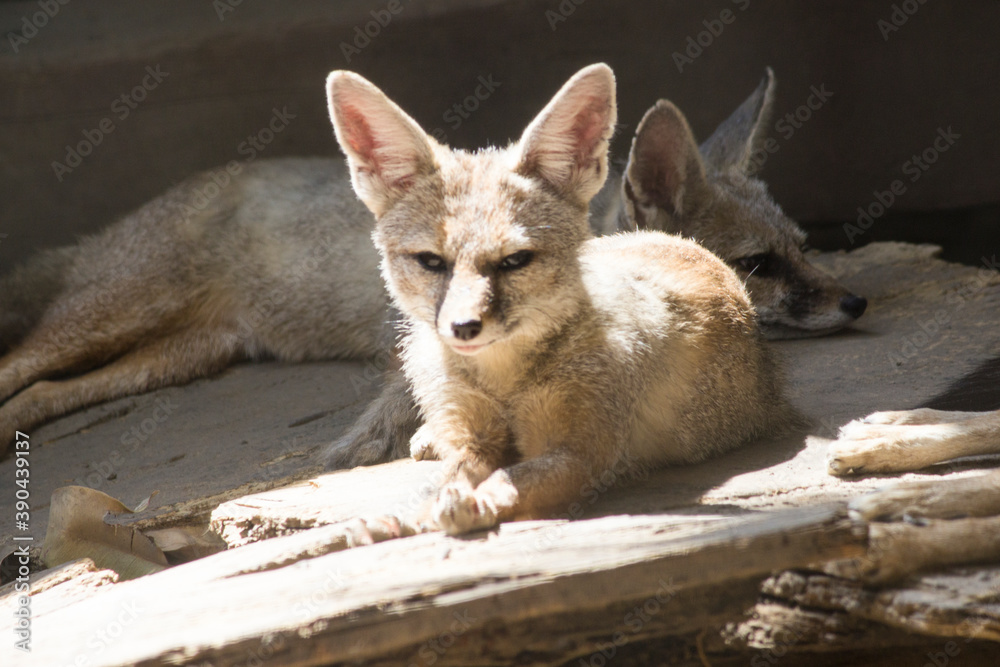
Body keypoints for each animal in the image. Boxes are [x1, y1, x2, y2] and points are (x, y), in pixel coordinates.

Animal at [325, 63, 790, 534]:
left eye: (515, 260)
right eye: (431, 262)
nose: (463, 328)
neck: (504, 382)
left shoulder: (582, 455)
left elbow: (509, 479)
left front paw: (471, 505)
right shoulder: (475, 435)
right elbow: (451, 476)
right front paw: (410, 513)